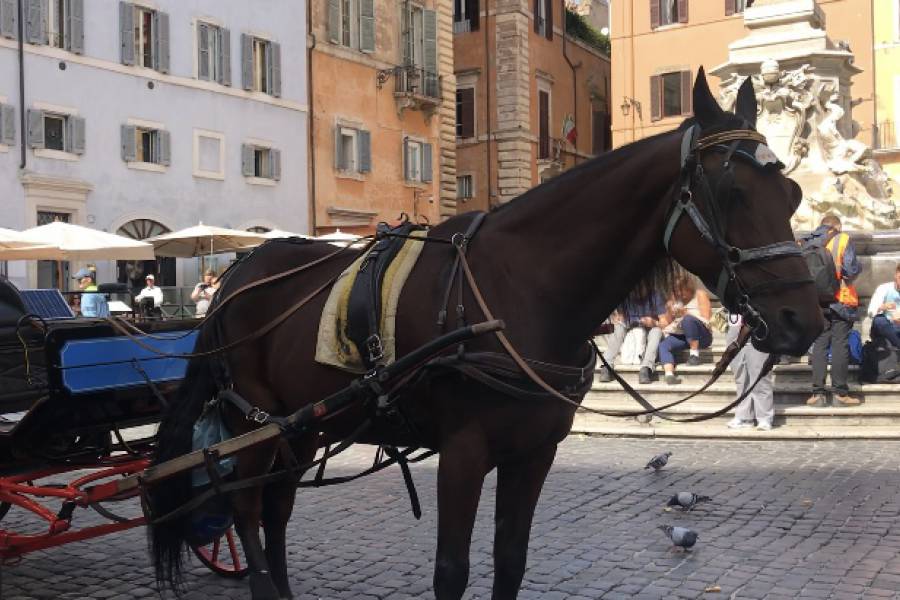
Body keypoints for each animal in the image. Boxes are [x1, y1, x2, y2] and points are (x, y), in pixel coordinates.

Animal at [148, 69, 824, 600]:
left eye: (791, 192)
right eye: (733, 192)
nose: (806, 320)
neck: (522, 287)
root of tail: (237, 273)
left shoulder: (534, 452)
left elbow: (510, 560)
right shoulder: (464, 452)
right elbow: (451, 571)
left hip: (300, 426)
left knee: (277, 508)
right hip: (252, 422)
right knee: (246, 510)